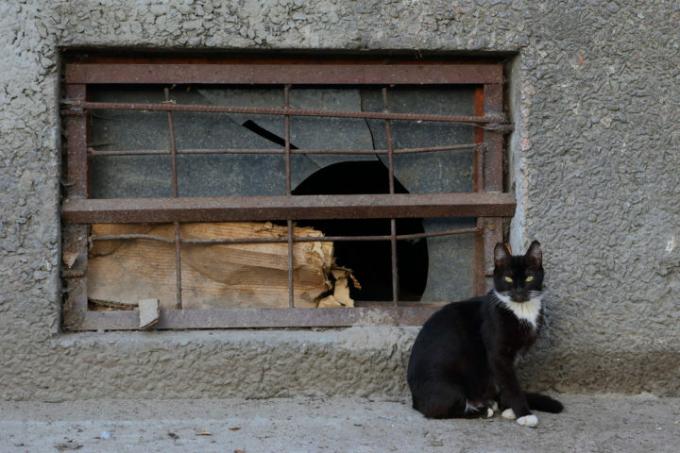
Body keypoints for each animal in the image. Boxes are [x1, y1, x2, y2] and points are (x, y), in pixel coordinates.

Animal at [406, 242, 560, 426]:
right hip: (446, 382)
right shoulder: (497, 354)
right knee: (438, 410)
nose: (519, 291)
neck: (521, 310)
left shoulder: (512, 358)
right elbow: (510, 384)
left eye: (529, 278)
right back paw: (482, 410)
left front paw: (508, 408)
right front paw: (523, 414)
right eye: (508, 279)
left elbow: (506, 382)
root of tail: (415, 401)